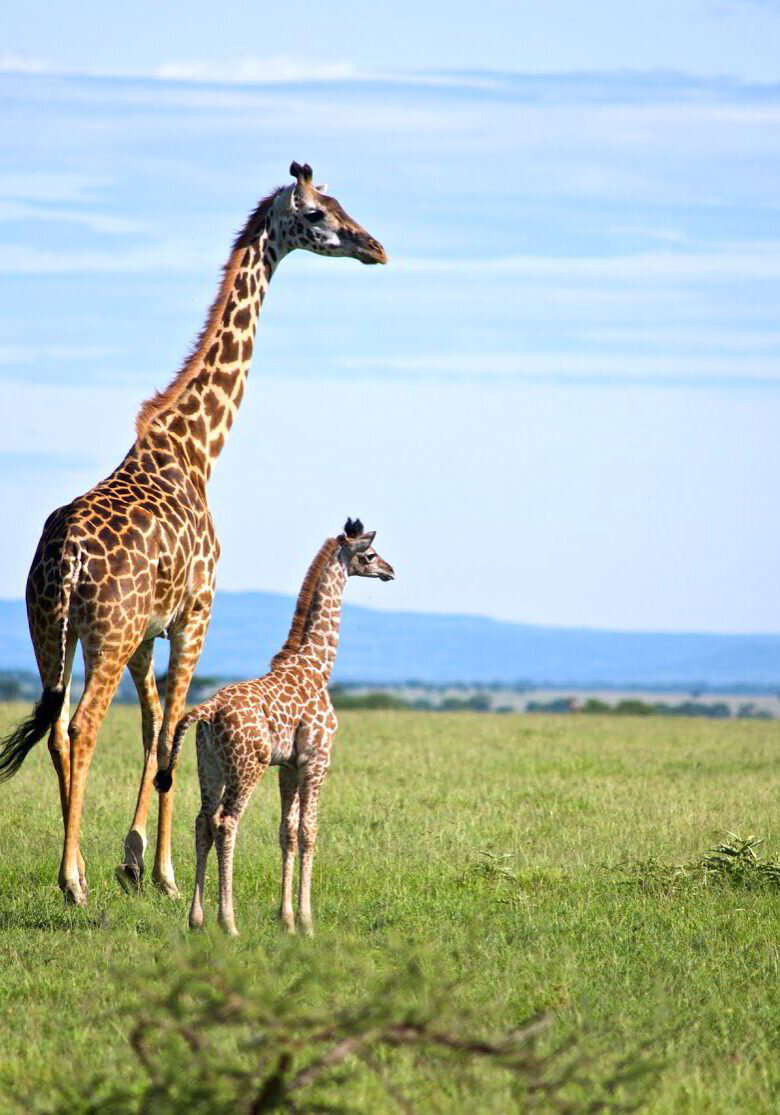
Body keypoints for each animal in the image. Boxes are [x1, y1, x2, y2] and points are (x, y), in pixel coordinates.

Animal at [153, 518, 394, 937]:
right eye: (369, 554)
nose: (390, 571)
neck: (317, 666)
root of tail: (209, 710)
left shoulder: (288, 766)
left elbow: (288, 832)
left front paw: (286, 920)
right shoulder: (316, 761)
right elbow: (310, 831)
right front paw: (307, 922)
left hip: (208, 766)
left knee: (203, 822)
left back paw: (196, 920)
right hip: (247, 767)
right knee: (226, 823)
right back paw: (228, 923)